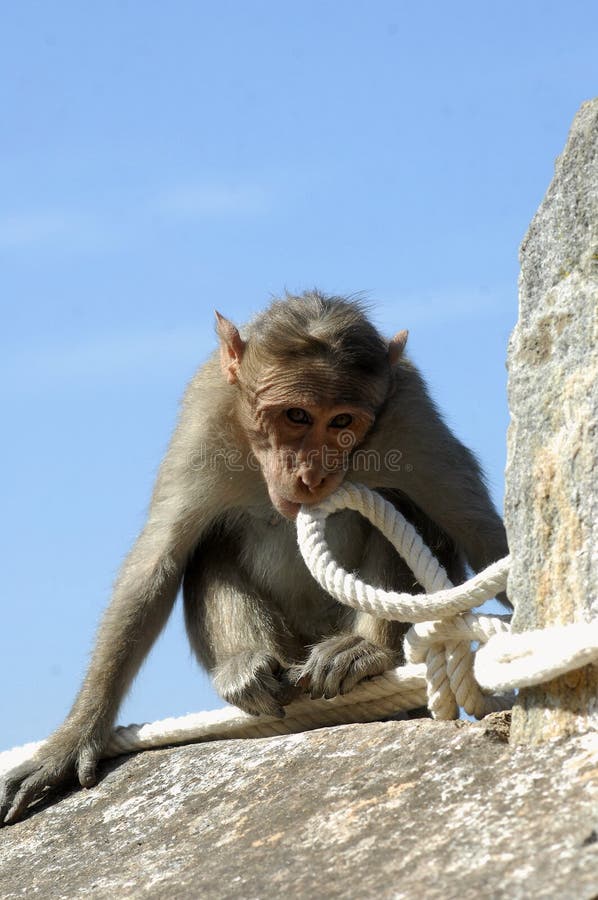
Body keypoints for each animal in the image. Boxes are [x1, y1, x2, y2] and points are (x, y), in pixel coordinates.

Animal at [0, 290, 508, 824]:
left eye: (342, 421)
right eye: (296, 416)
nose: (310, 474)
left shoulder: (410, 420)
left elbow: (479, 532)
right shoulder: (205, 415)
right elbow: (158, 562)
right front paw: (72, 740)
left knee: (405, 508)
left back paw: (365, 651)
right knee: (210, 545)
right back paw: (246, 667)